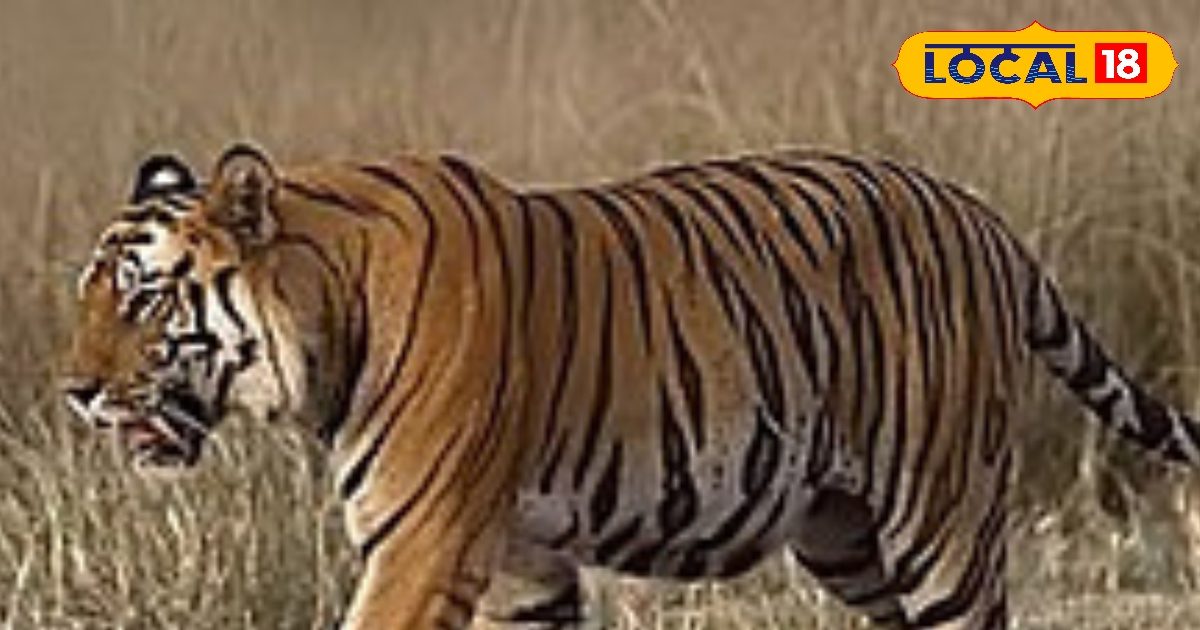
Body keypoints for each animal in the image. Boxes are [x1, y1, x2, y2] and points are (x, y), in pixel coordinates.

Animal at [61, 142, 1200, 629]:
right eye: (87, 297)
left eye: (144, 299)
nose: (73, 392)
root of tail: (984, 216)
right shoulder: (519, 565)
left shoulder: (421, 546)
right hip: (846, 536)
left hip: (940, 519)